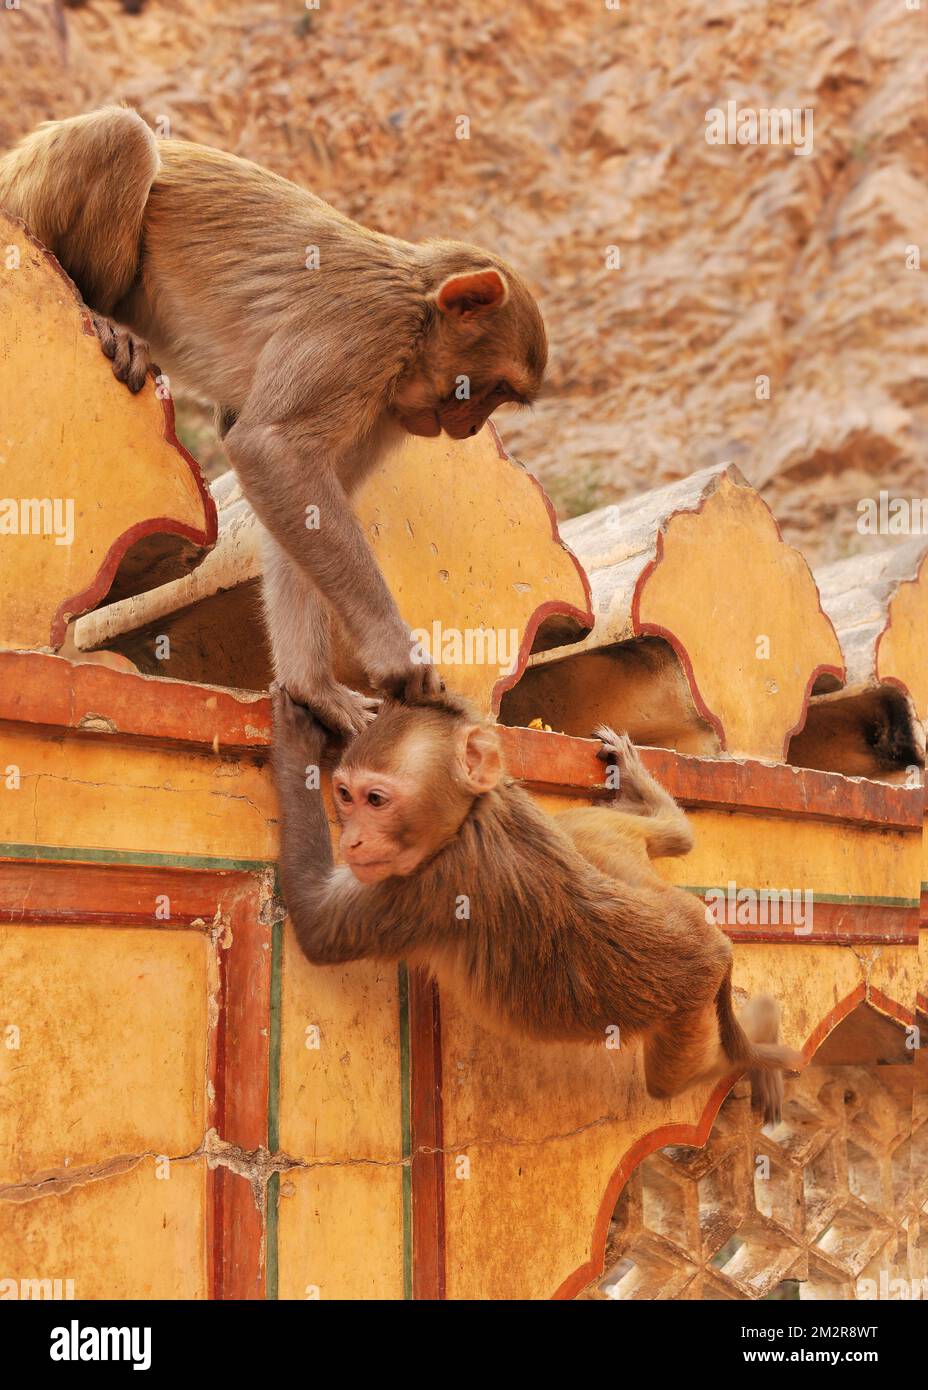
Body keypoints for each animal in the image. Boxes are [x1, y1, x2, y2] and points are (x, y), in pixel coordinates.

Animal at [0, 107, 547, 734]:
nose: (473, 427)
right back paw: (100, 314)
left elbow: (305, 504)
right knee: (122, 134)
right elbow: (274, 450)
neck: (416, 313)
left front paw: (314, 689)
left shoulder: (388, 409)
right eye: (491, 390)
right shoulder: (368, 332)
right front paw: (396, 654)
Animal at [270, 685, 803, 1123]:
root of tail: (715, 943)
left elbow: (316, 928)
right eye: (345, 795)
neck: (471, 816)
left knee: (672, 1082)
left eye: (375, 800)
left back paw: (758, 1039)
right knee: (640, 837)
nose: (353, 840)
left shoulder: (425, 884)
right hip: (637, 875)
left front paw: (296, 736)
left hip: (685, 1011)